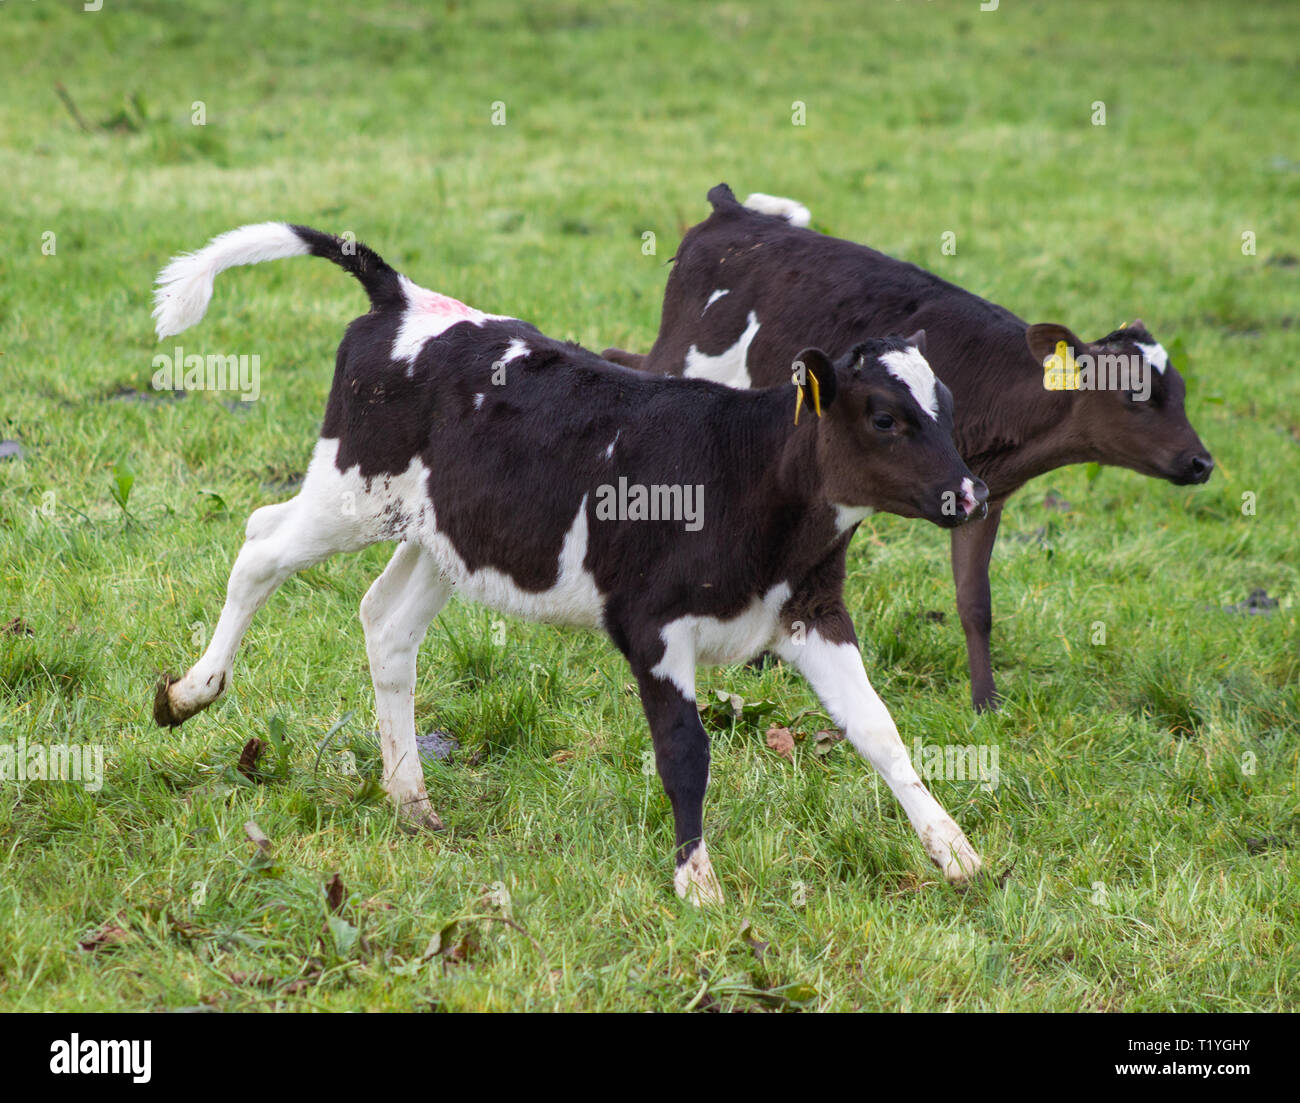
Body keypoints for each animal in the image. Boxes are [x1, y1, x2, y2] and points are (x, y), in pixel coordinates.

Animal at [149, 222, 989, 904]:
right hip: (351, 491)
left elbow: (880, 731)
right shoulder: (651, 624)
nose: (970, 492)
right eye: (884, 417)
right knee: (262, 544)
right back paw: (189, 692)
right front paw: (698, 883)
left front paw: (956, 852)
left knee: (385, 622)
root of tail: (406, 297)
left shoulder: (812, 611)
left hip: (448, 535)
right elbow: (685, 750)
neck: (747, 473)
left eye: (947, 404)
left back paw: (411, 799)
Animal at [603, 183, 1214, 711]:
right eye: (1136, 396)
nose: (1201, 462)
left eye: (1183, 391)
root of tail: (734, 213)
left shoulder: (980, 494)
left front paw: (986, 703)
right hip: (686, 358)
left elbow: (975, 601)